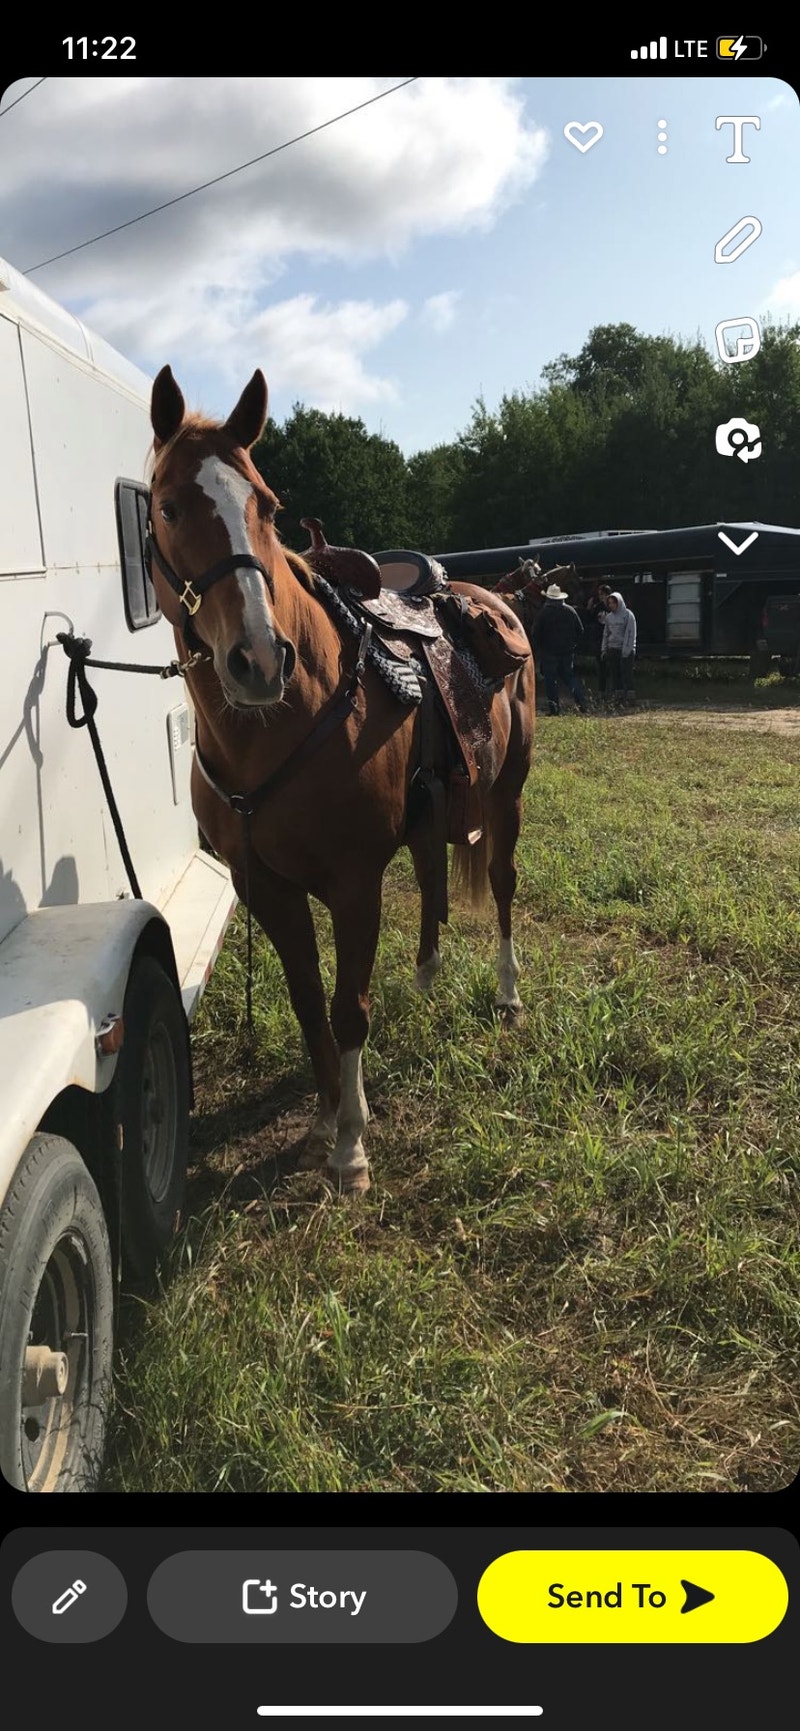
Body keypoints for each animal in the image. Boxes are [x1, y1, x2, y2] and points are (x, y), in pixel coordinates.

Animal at [146, 366, 536, 1195]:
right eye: (167, 504)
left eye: (267, 505)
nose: (260, 660)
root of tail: (497, 597)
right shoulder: (265, 886)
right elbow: (306, 1000)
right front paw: (326, 1114)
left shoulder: (354, 884)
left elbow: (347, 1005)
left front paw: (352, 1146)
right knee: (430, 875)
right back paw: (426, 976)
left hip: (506, 795)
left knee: (504, 884)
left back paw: (508, 991)